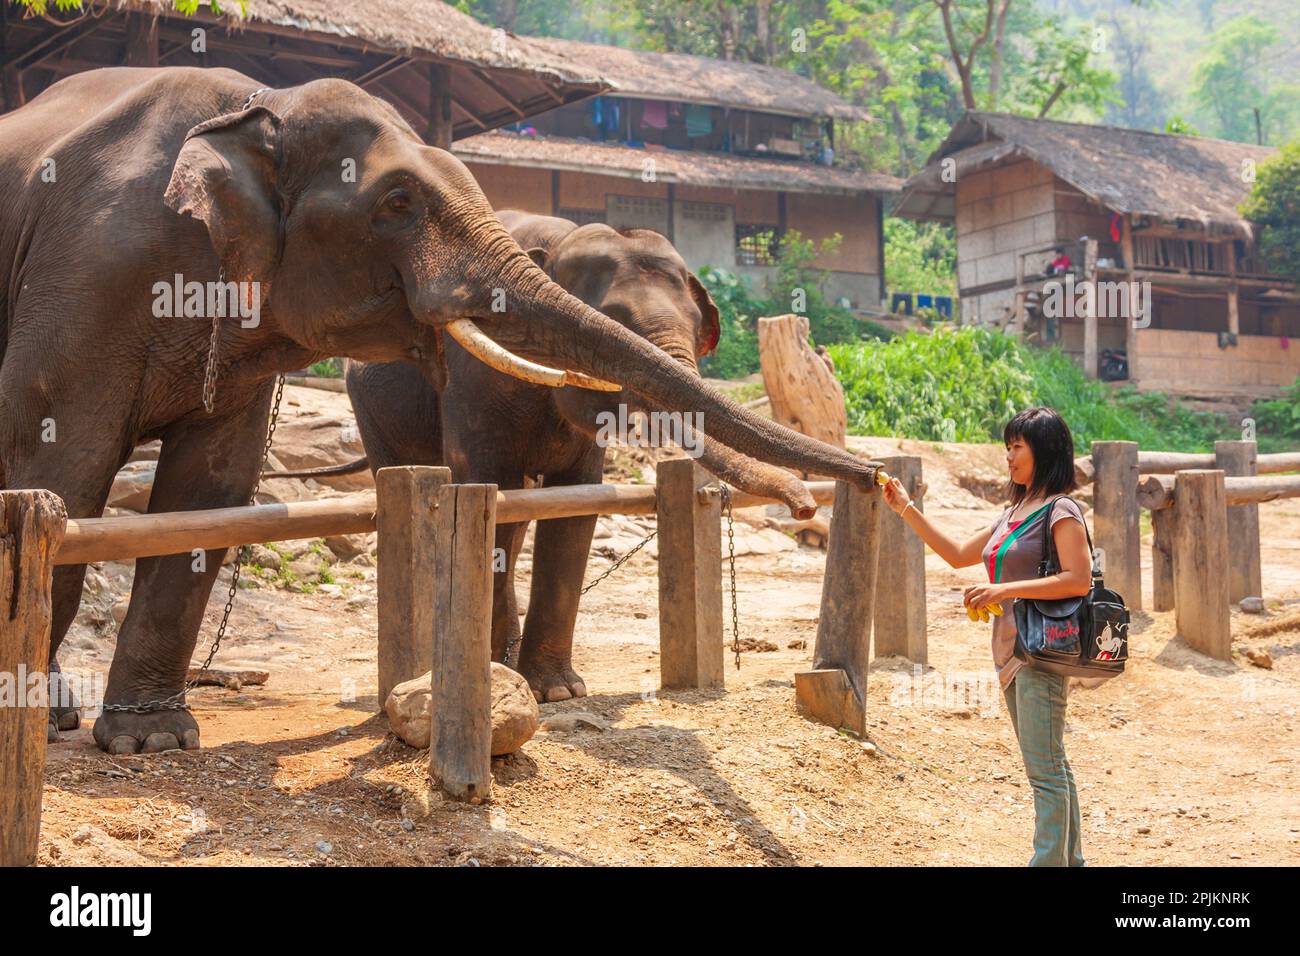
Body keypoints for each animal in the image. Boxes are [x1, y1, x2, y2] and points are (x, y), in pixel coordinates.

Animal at [335, 210, 823, 702]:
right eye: (614, 320)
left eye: (695, 322)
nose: (806, 508)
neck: (559, 243)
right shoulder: (470, 376)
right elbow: (487, 485)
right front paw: (501, 679)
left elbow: (576, 500)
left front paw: (557, 692)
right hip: (370, 410)